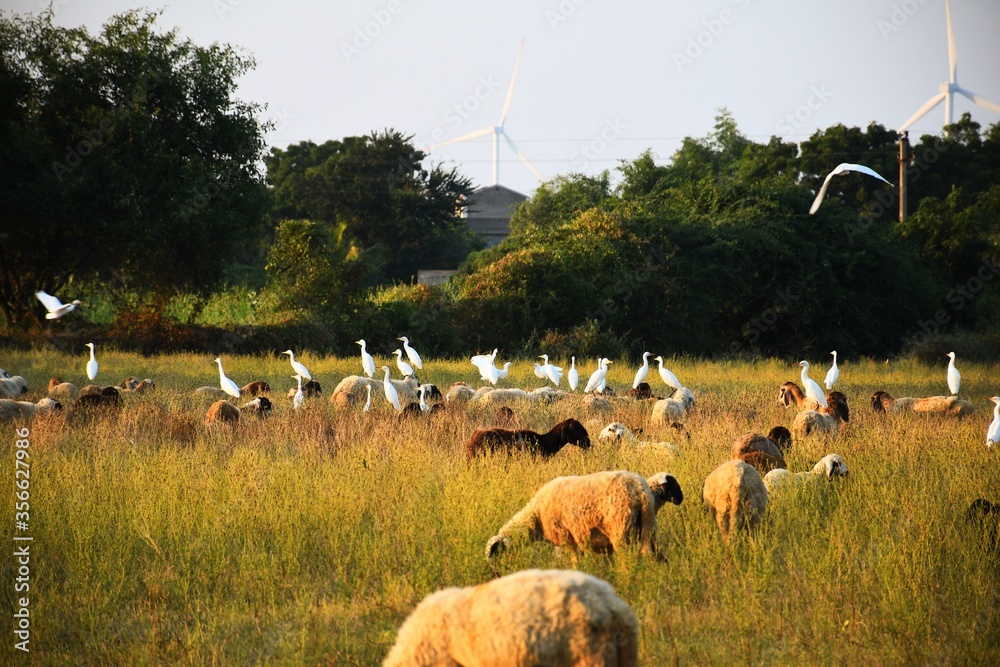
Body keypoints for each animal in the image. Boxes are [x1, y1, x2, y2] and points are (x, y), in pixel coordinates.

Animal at [486, 470, 683, 560]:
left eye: (494, 553)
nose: (495, 574)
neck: (536, 517)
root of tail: (641, 491)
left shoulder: (566, 539)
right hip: (648, 530)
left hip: (621, 530)